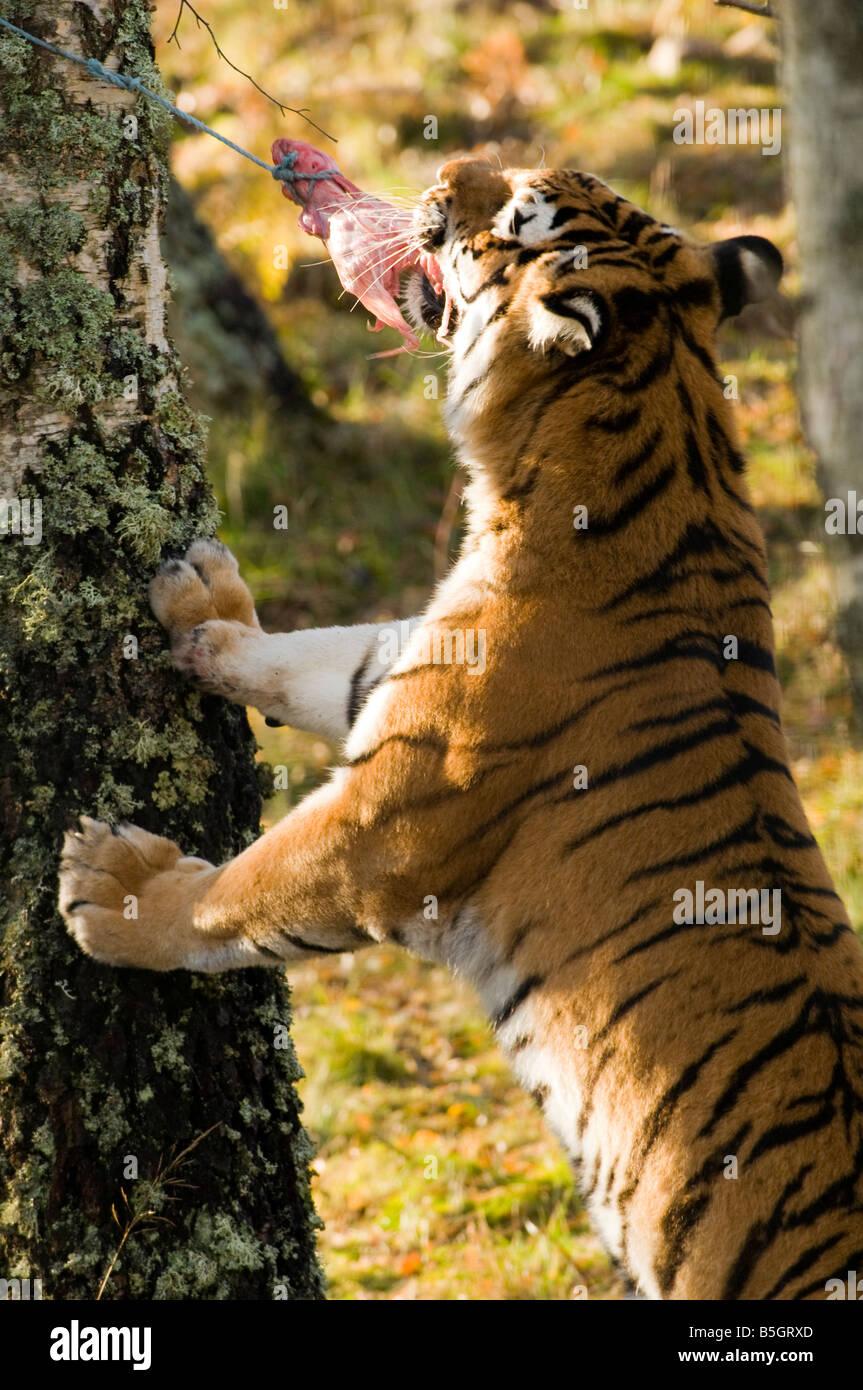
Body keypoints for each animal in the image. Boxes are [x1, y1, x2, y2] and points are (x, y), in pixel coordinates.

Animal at [59, 158, 863, 1301]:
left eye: (517, 213)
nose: (446, 173)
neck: (664, 442)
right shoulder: (400, 665)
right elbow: (308, 653)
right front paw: (202, 603)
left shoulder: (386, 826)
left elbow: (234, 900)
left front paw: (113, 890)